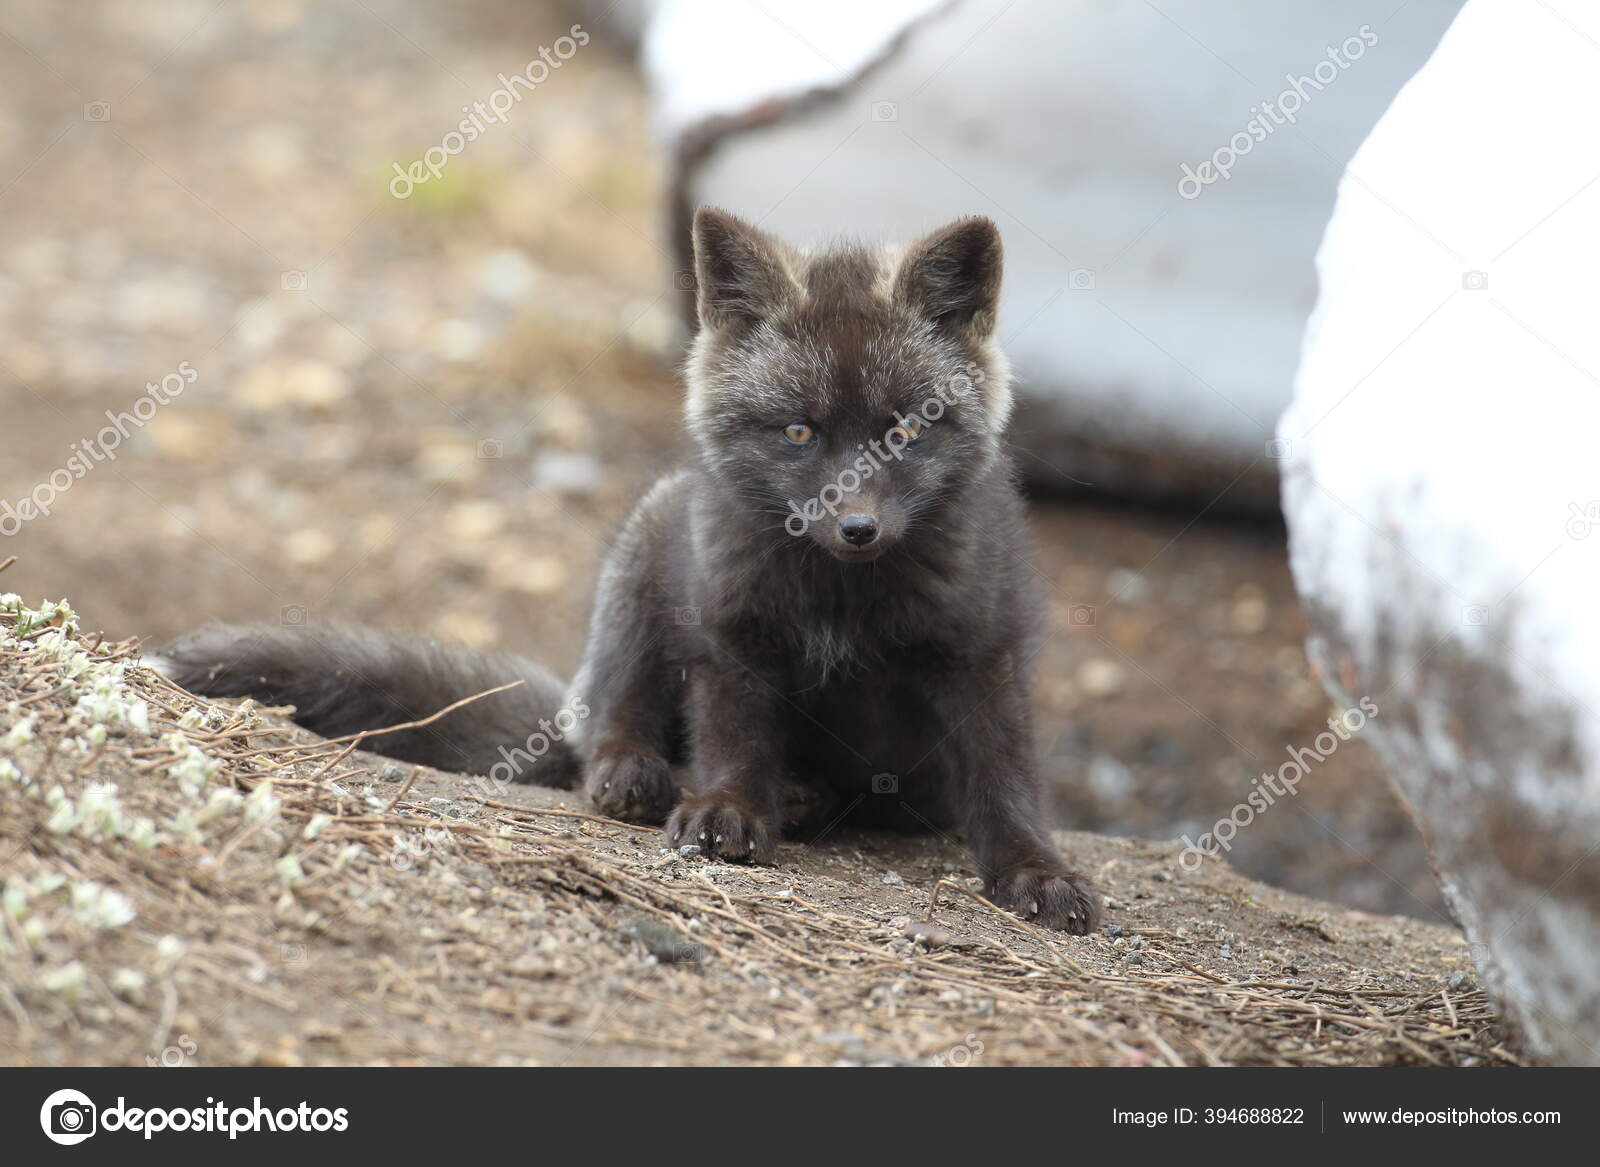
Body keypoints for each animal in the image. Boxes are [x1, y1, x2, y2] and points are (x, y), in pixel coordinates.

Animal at [156, 208, 1102, 933]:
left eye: (904, 429)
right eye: (799, 432)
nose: (856, 526)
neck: (844, 600)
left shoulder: (979, 655)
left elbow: (1008, 783)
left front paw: (1035, 872)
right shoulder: (730, 642)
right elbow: (732, 745)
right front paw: (728, 811)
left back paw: (800, 799)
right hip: (644, 556)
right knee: (607, 727)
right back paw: (641, 775)